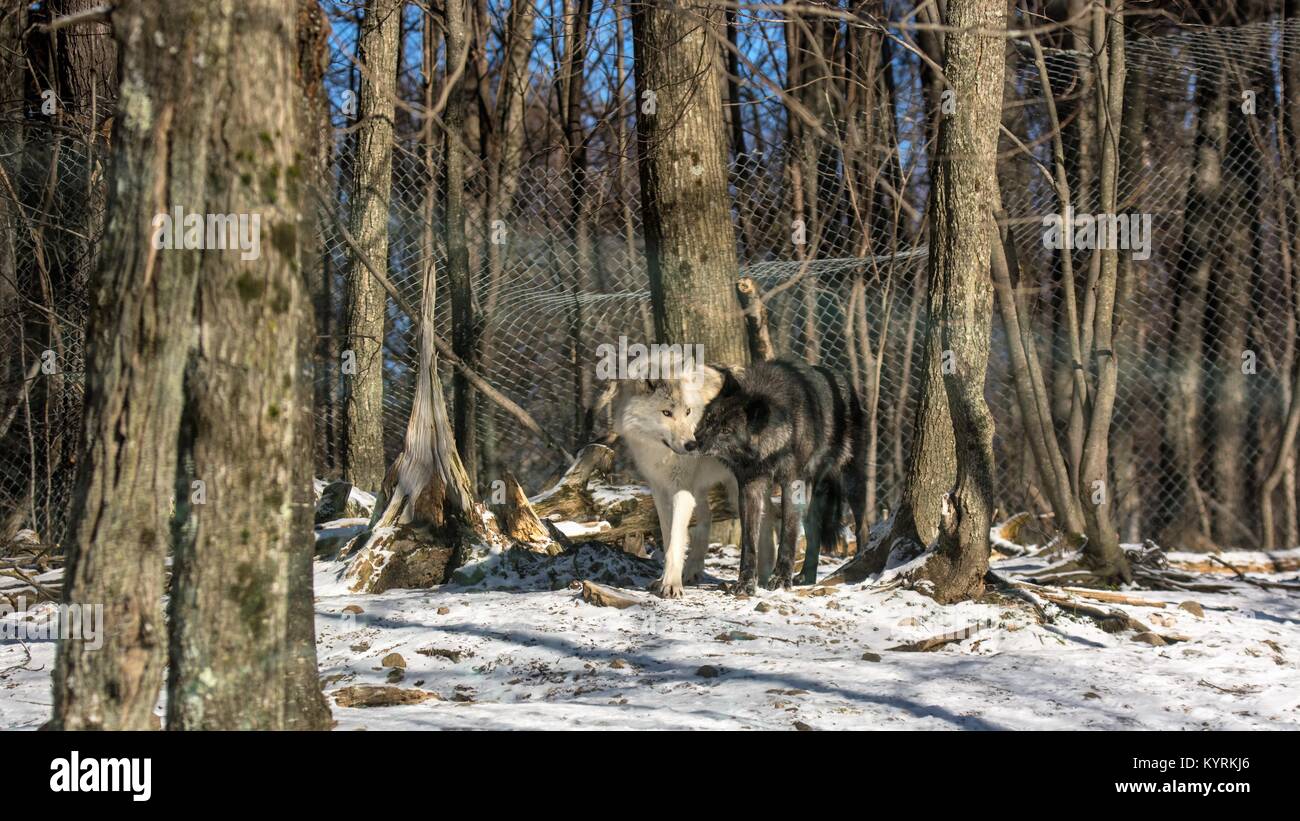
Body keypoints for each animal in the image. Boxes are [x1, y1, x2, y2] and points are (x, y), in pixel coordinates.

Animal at [598, 351, 773, 597]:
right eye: (666, 413)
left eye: (688, 411)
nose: (692, 445)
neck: (660, 452)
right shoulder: (660, 489)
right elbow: (668, 536)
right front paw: (663, 579)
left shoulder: (681, 489)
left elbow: (676, 539)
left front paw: (671, 584)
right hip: (700, 489)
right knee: (706, 520)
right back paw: (692, 570)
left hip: (737, 488)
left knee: (767, 519)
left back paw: (765, 575)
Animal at [694, 358, 866, 593]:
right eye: (709, 420)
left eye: (726, 431)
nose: (693, 442)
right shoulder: (749, 487)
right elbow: (749, 542)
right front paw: (745, 582)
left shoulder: (791, 485)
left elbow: (788, 535)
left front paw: (781, 579)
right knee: (814, 534)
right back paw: (807, 577)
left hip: (850, 482)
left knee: (862, 524)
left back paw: (862, 558)